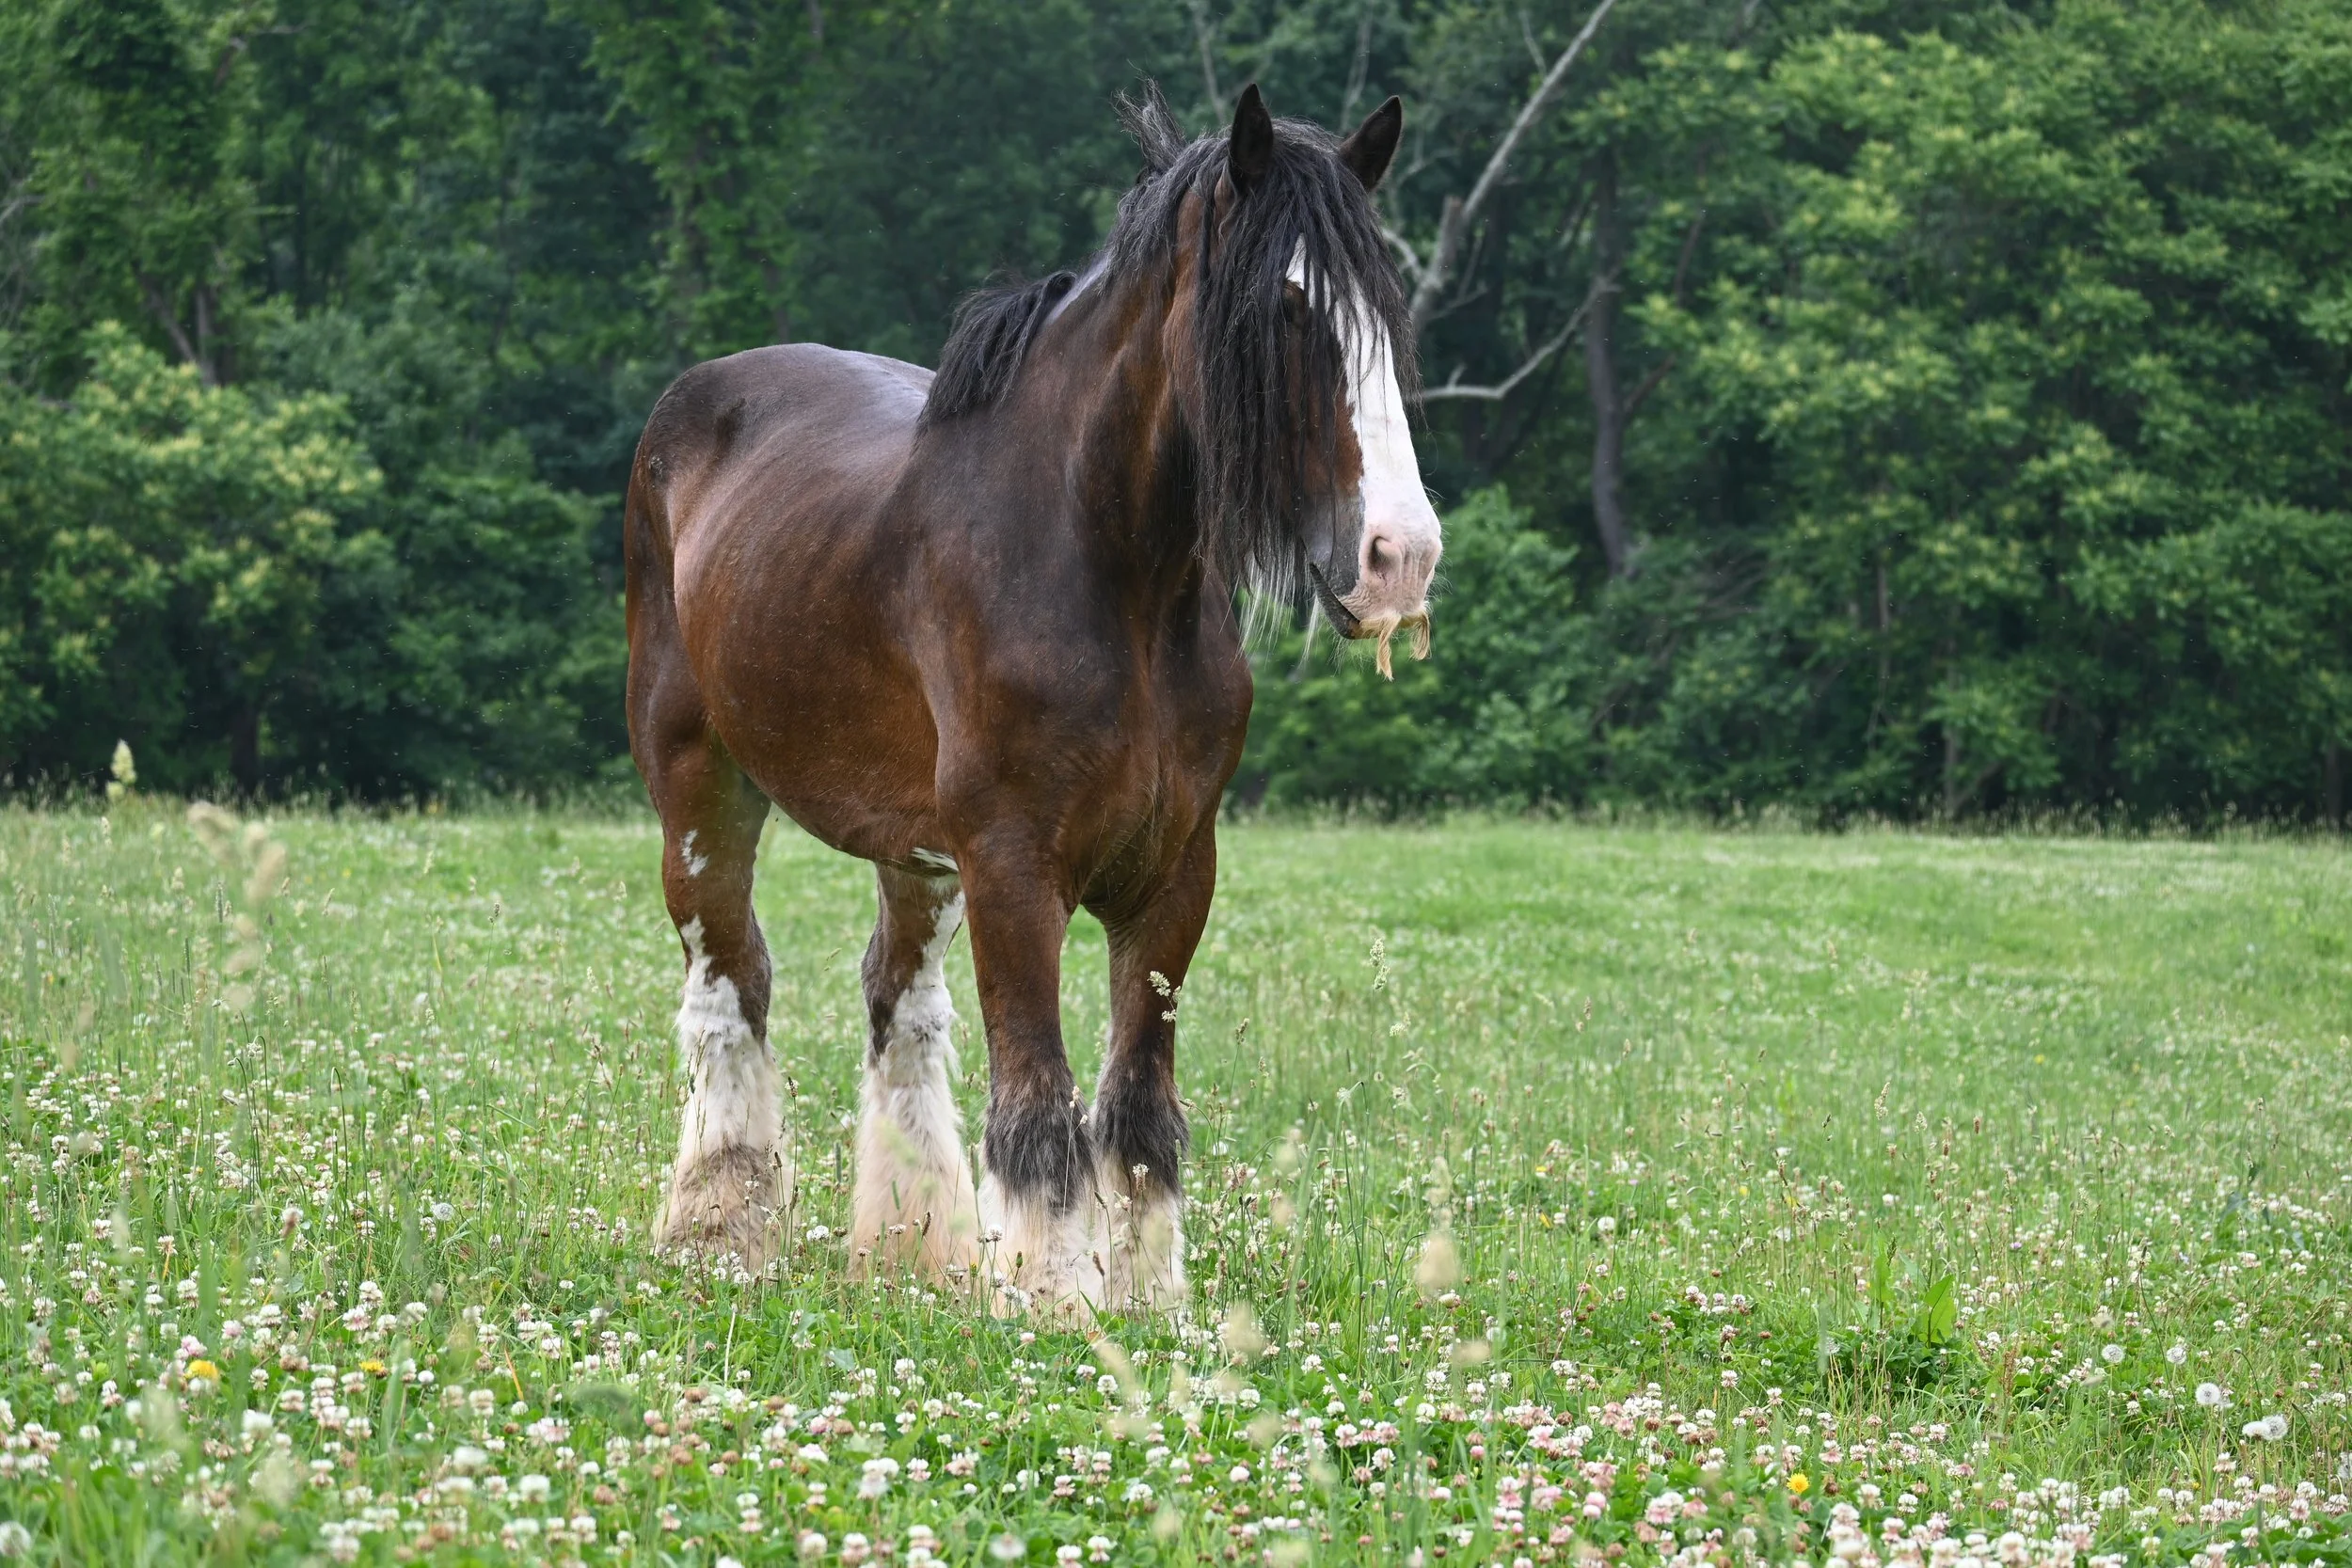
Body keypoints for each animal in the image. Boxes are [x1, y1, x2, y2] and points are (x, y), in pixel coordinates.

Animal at [622, 83, 1442, 1316]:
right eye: (1288, 307)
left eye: (1388, 314)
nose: (1400, 557)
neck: (1109, 570)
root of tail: (691, 403)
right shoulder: (1014, 863)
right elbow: (1041, 1093)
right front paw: (1057, 1295)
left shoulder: (1174, 872)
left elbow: (1138, 1101)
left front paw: (1147, 1299)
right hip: (697, 782)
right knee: (730, 982)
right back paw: (723, 1224)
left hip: (914, 850)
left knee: (899, 1002)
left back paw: (917, 1244)